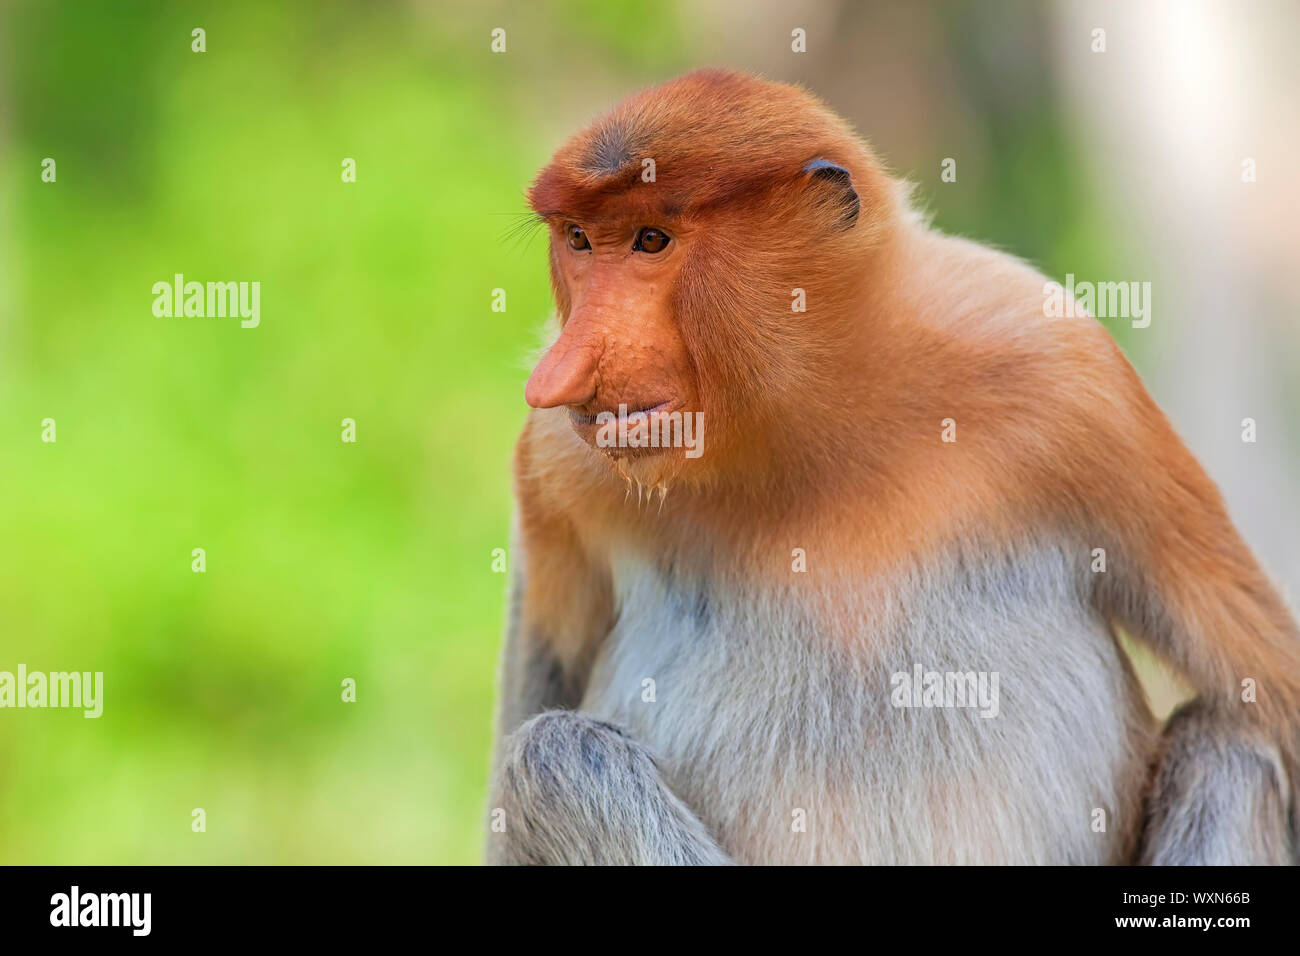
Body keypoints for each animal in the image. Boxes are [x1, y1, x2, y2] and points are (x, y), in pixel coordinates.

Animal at [486, 69, 1300, 865]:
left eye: (651, 240)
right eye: (580, 240)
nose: (560, 374)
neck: (809, 422)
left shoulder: (1073, 376)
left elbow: (1273, 703)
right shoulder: (554, 466)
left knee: (1229, 741)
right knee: (551, 752)